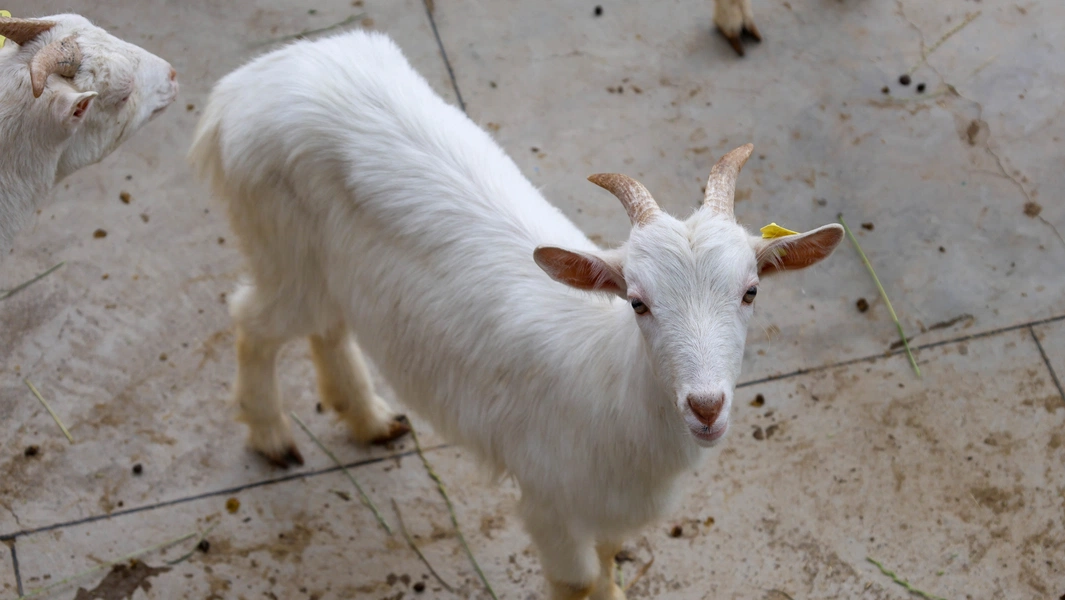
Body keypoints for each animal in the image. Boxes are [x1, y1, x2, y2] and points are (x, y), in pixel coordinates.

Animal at [188, 30, 843, 600]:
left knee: (327, 326)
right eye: (637, 301)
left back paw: (368, 419)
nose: (706, 406)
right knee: (255, 320)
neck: (613, 385)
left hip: (328, 269)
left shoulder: (607, 501)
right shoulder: (547, 496)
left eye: (751, 292)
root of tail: (241, 86)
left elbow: (608, 561)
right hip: (280, 245)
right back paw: (271, 435)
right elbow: (577, 581)